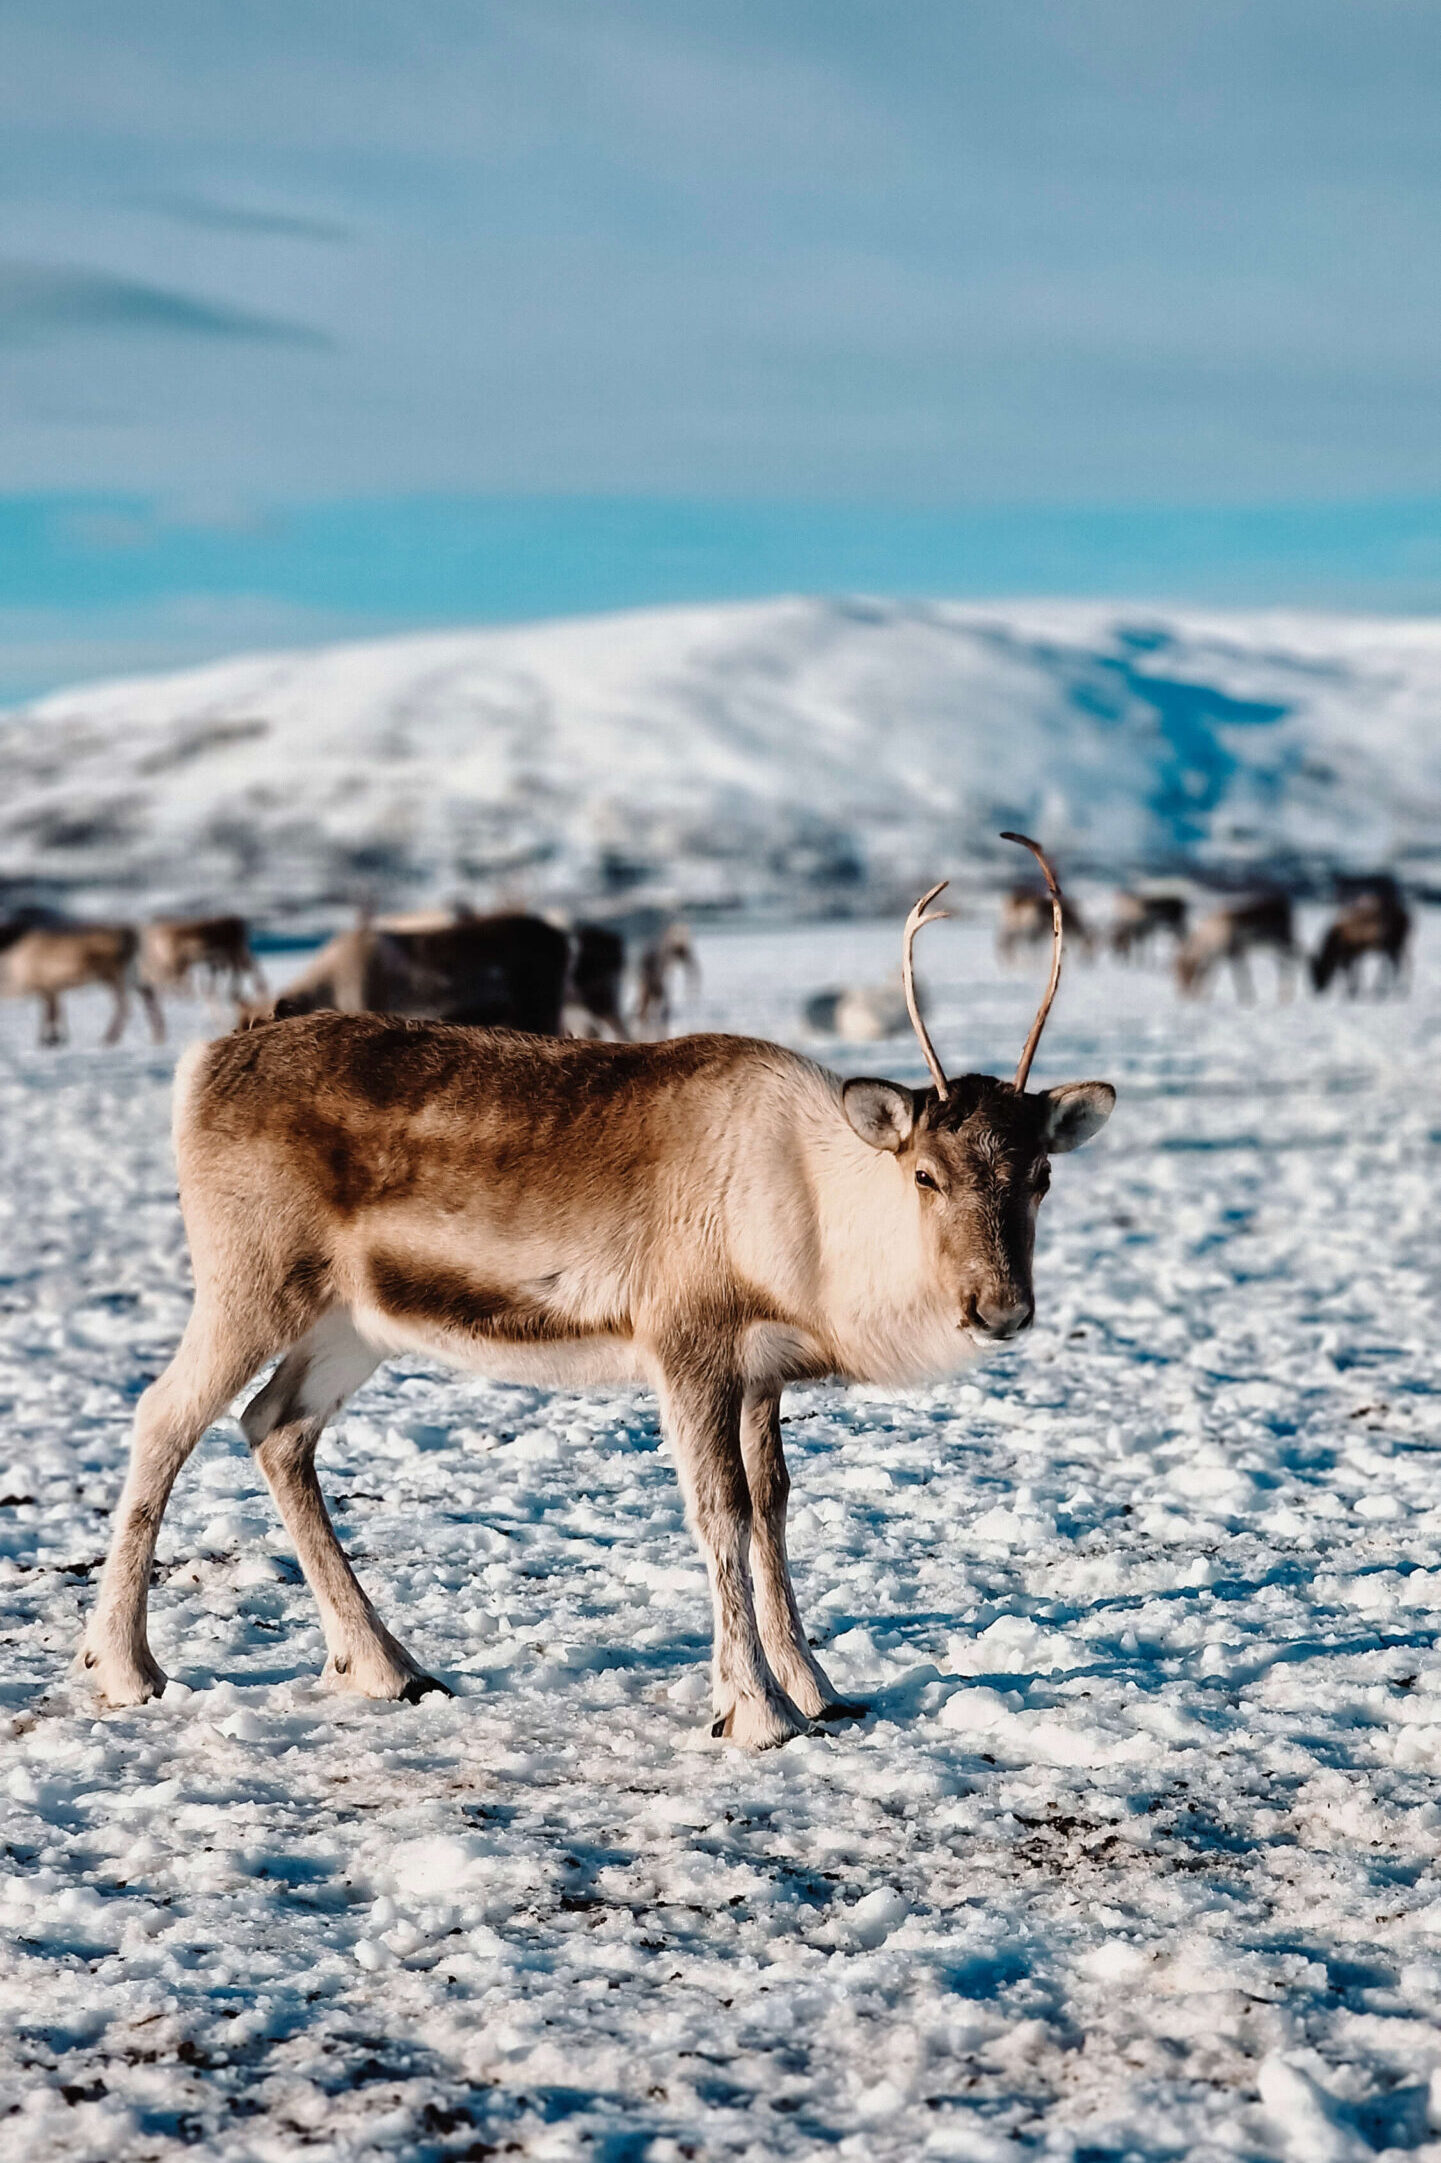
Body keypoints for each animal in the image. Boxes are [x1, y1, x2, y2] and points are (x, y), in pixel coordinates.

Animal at [0, 923, 163, 1048]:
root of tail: (133, 936)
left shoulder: (47, 987)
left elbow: (50, 1016)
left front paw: (49, 1041)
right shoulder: (52, 989)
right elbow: (54, 1014)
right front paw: (56, 1040)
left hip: (112, 975)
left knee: (125, 1005)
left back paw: (108, 1039)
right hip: (132, 973)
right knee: (148, 993)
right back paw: (158, 1036)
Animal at [79, 835, 1113, 1750]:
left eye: (1039, 1176)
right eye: (926, 1174)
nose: (998, 1308)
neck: (818, 1213)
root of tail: (205, 1063)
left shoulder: (760, 1370)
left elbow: (774, 1504)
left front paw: (819, 1688)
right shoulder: (686, 1342)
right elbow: (721, 1510)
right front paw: (755, 1711)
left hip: (351, 1322)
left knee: (276, 1427)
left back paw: (387, 1666)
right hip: (250, 1283)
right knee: (164, 1416)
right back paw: (125, 1667)